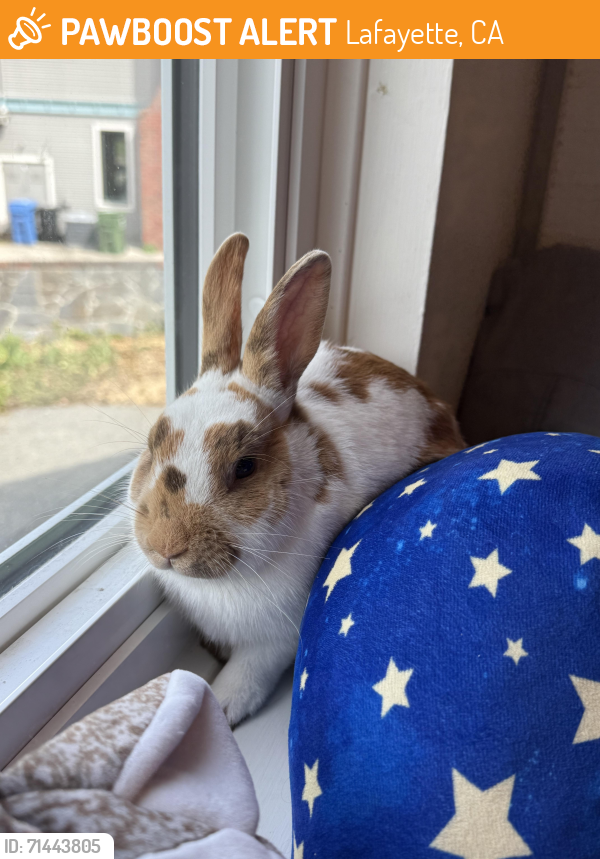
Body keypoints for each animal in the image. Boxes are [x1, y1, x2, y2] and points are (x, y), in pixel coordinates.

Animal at [129, 233, 465, 726]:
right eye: (152, 445)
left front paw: (223, 705)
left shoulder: (278, 638)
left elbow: (250, 672)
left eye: (245, 467)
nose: (165, 548)